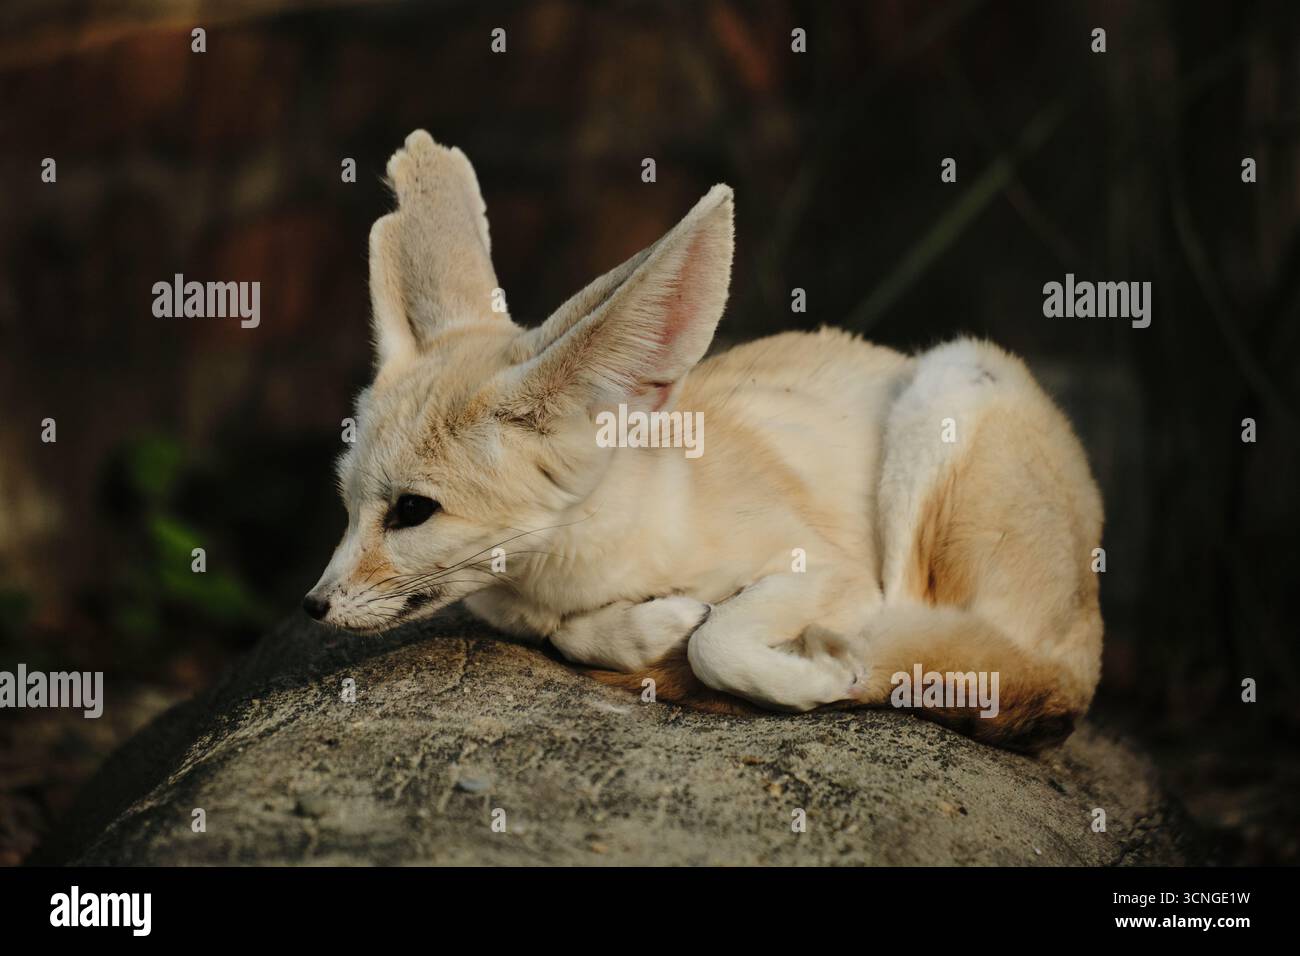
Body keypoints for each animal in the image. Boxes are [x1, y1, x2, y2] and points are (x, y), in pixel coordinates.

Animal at [304, 130, 1104, 753]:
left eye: (413, 511)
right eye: (346, 505)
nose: (313, 605)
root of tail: (1088, 639)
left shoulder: (835, 570)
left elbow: (715, 641)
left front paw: (806, 673)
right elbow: (582, 634)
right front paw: (654, 625)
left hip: (951, 391)